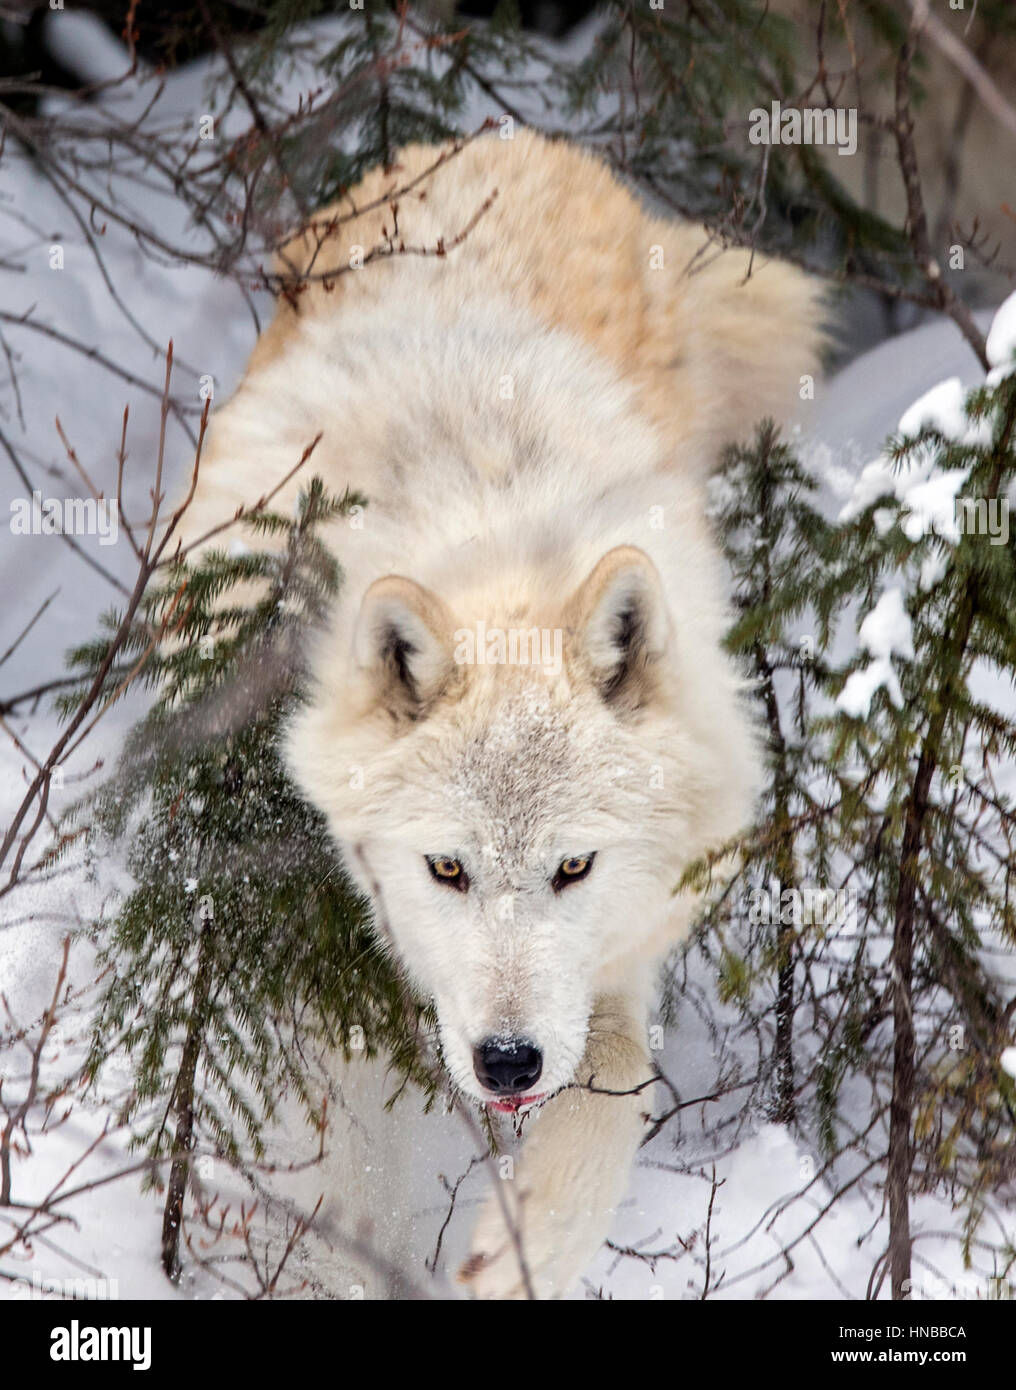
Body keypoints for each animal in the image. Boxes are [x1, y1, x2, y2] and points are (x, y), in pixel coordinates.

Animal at [174, 129, 822, 1298]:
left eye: (572, 867)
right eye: (446, 869)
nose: (507, 1061)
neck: (477, 529)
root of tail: (512, 139)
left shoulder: (612, 955)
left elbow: (618, 1082)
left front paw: (524, 1254)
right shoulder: (303, 928)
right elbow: (349, 1160)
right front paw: (351, 1269)